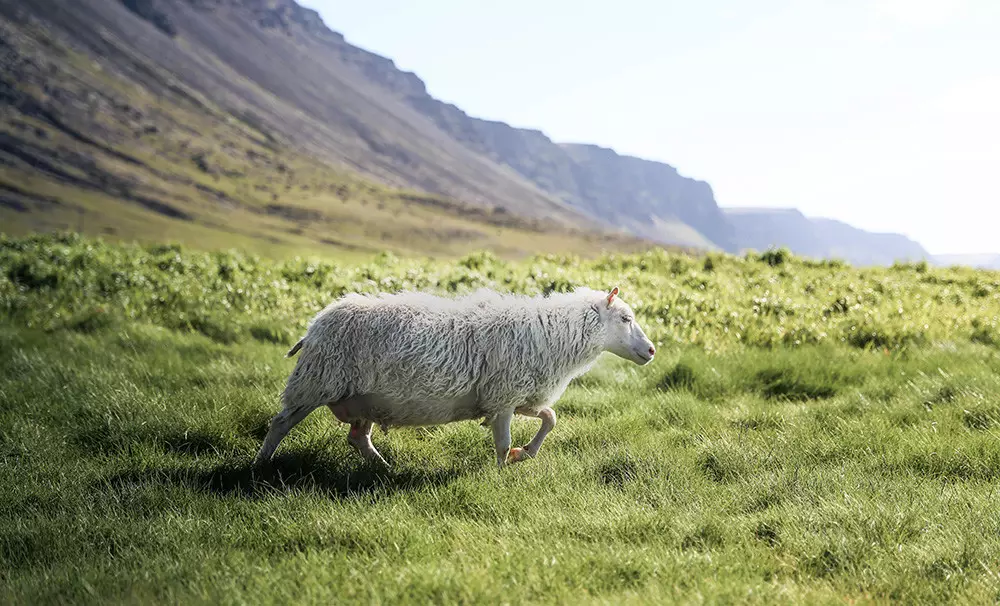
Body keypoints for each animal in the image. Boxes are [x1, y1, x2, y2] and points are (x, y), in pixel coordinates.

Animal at [254, 288, 656, 468]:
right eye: (625, 319)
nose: (652, 351)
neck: (551, 334)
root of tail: (315, 324)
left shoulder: (514, 396)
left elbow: (551, 418)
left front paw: (526, 452)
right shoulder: (504, 397)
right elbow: (501, 442)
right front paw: (502, 471)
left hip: (361, 399)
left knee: (358, 438)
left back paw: (384, 468)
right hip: (315, 383)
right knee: (280, 423)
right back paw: (260, 465)